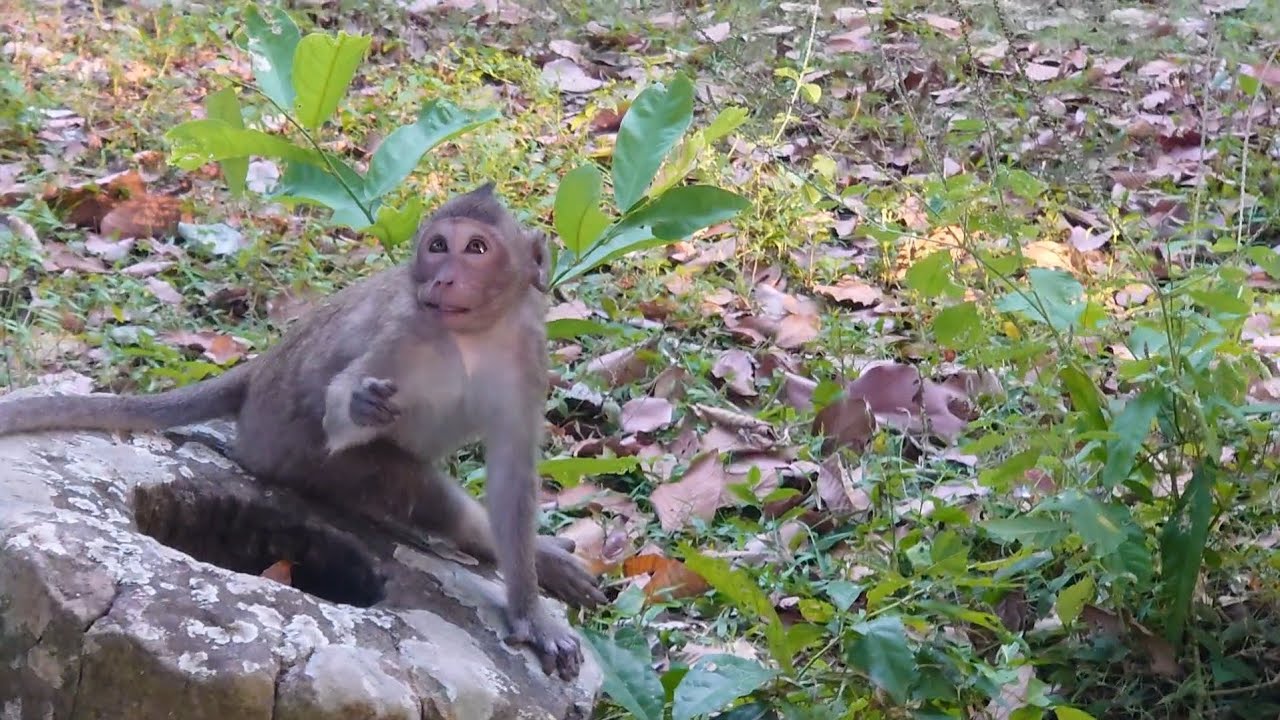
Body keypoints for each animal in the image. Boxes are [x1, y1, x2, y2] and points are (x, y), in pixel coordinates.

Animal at [0, 183, 605, 680]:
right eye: (438, 245)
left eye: (475, 248)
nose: (443, 276)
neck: (471, 337)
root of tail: (259, 370)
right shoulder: (403, 332)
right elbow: (340, 417)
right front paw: (357, 403)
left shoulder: (528, 355)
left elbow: (511, 477)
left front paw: (530, 609)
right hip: (281, 447)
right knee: (401, 481)